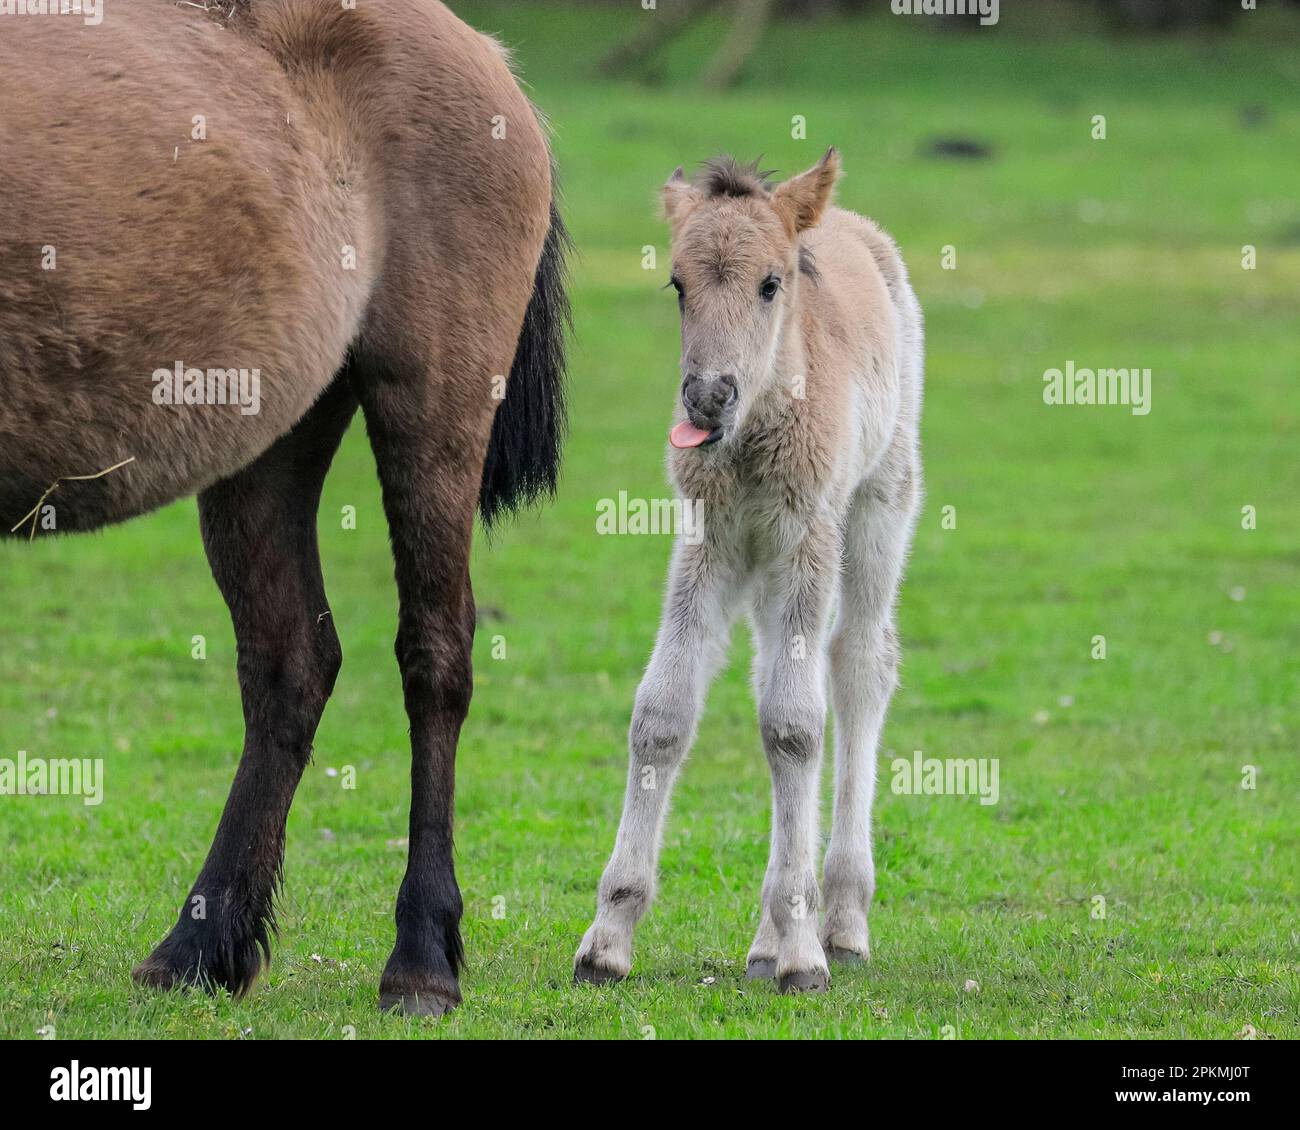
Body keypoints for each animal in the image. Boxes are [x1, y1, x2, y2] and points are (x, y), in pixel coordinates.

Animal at [0, 0, 569, 1017]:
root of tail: (486, 56)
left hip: (435, 400)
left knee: (435, 658)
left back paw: (420, 957)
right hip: (268, 438)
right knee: (290, 666)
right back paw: (202, 944)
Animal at [574, 150, 923, 992]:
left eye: (771, 283)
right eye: (677, 284)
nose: (707, 397)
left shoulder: (804, 540)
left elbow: (795, 727)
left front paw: (805, 952)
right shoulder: (711, 546)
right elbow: (661, 714)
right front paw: (608, 939)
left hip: (880, 501)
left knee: (859, 666)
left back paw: (841, 922)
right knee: (776, 671)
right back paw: (765, 943)